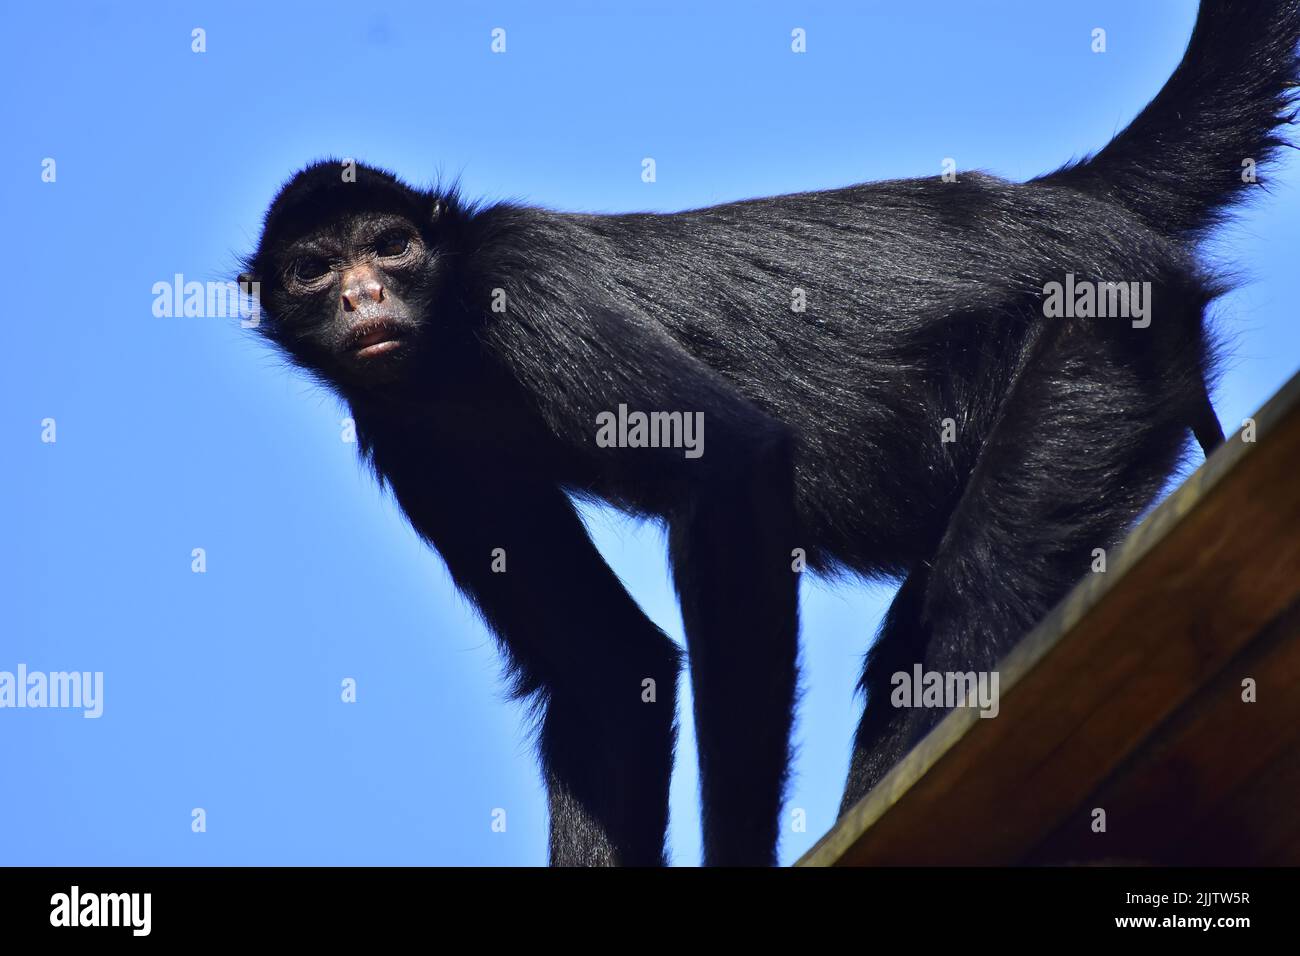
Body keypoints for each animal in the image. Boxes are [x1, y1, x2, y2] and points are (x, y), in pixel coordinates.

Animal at [237, 1, 1300, 866]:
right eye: (313, 269)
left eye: (390, 248)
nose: (363, 295)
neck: (455, 336)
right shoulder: (406, 431)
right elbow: (605, 670)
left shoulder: (526, 281)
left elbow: (734, 471)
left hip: (1107, 339)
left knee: (975, 583)